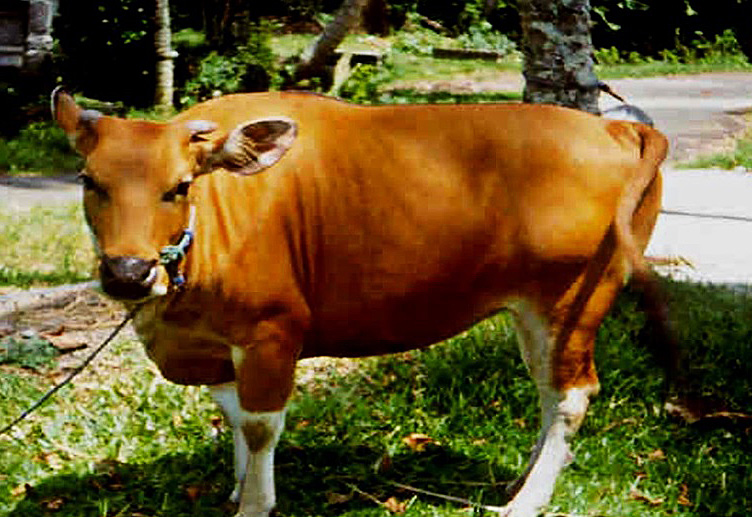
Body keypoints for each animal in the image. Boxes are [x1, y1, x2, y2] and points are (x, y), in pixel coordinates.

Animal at [52, 88, 669, 517]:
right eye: (89, 180)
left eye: (179, 186)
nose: (128, 272)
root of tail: (616, 127)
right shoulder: (218, 343)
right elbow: (231, 415)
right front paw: (237, 486)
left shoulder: (271, 334)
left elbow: (259, 426)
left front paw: (255, 501)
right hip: (535, 310)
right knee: (548, 390)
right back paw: (526, 478)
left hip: (573, 299)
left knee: (572, 395)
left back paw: (528, 500)